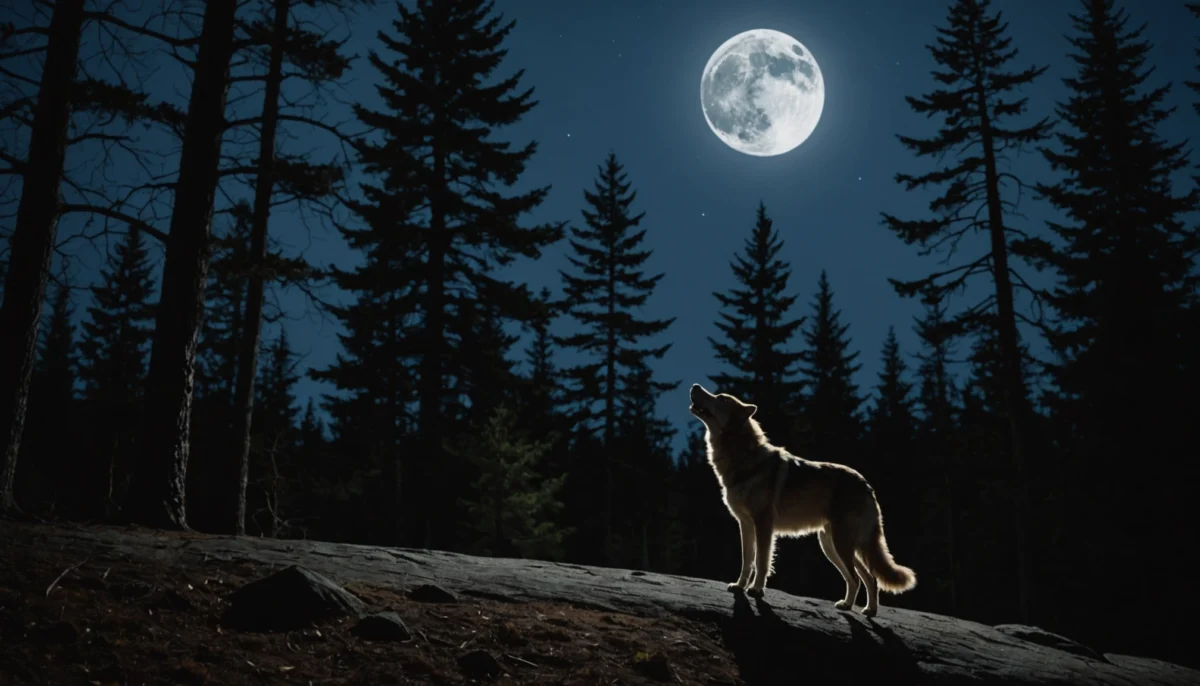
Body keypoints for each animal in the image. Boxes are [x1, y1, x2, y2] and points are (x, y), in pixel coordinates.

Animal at [688, 383, 916, 616]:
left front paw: (756, 590)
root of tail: (866, 485)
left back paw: (856, 608)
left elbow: (761, 561)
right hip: (832, 546)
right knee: (865, 578)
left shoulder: (763, 525)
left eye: (722, 399)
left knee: (860, 577)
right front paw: (740, 586)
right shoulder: (745, 524)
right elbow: (747, 560)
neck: (743, 458)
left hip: (841, 545)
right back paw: (861, 608)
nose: (695, 386)